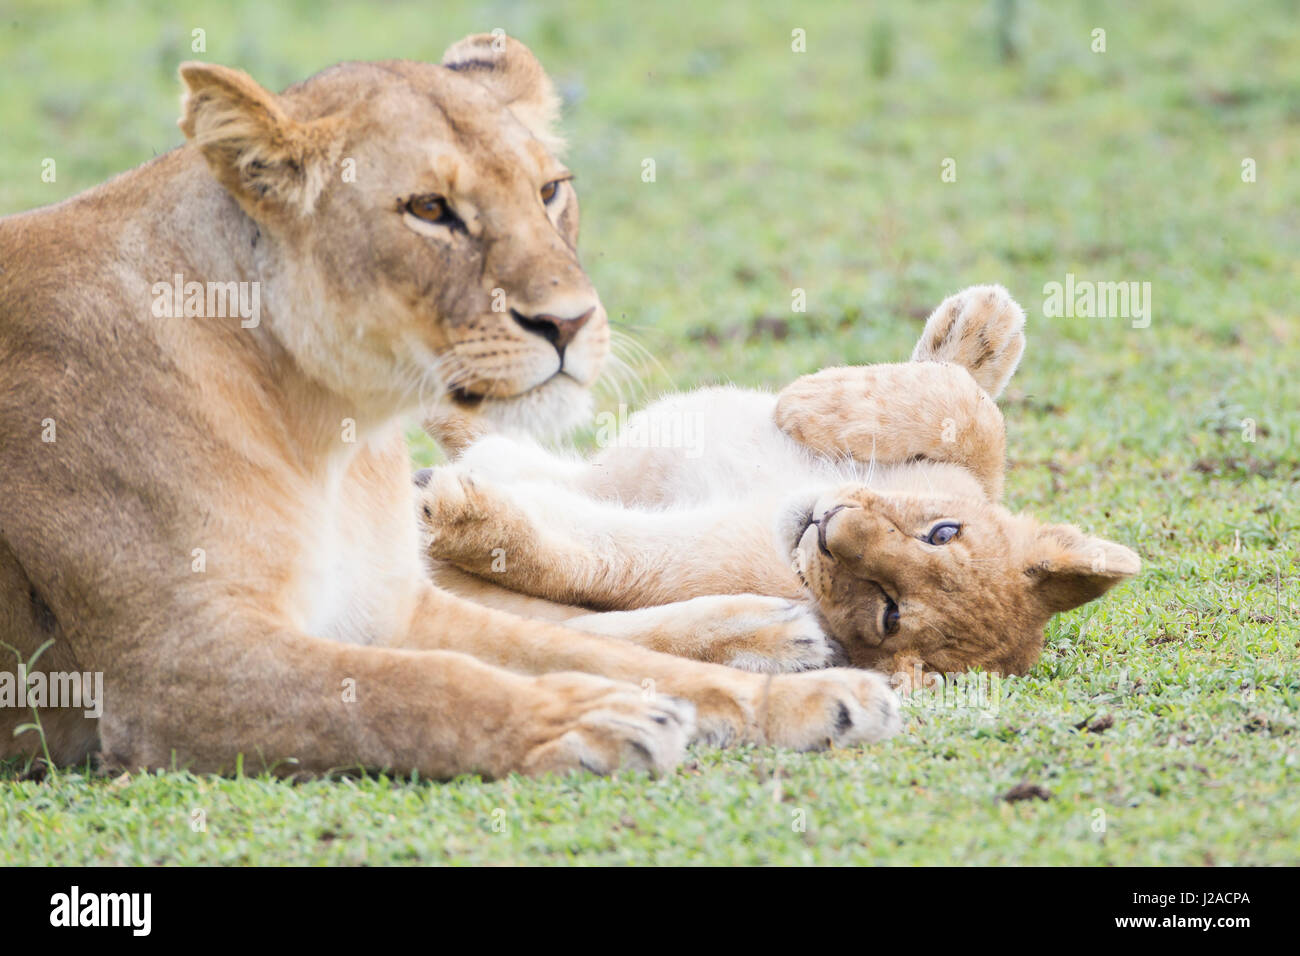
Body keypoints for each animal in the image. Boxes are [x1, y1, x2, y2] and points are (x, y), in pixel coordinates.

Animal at [0, 35, 901, 780]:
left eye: (550, 190)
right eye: (430, 210)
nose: (569, 321)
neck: (330, 427)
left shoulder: (385, 605)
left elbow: (576, 654)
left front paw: (809, 702)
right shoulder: (172, 673)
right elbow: (423, 690)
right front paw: (584, 722)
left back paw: (766, 630)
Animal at [419, 286, 1141, 686]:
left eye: (890, 614)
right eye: (942, 532)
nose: (830, 526)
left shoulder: (683, 561)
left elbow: (587, 558)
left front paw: (457, 512)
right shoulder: (962, 473)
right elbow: (973, 414)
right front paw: (979, 326)